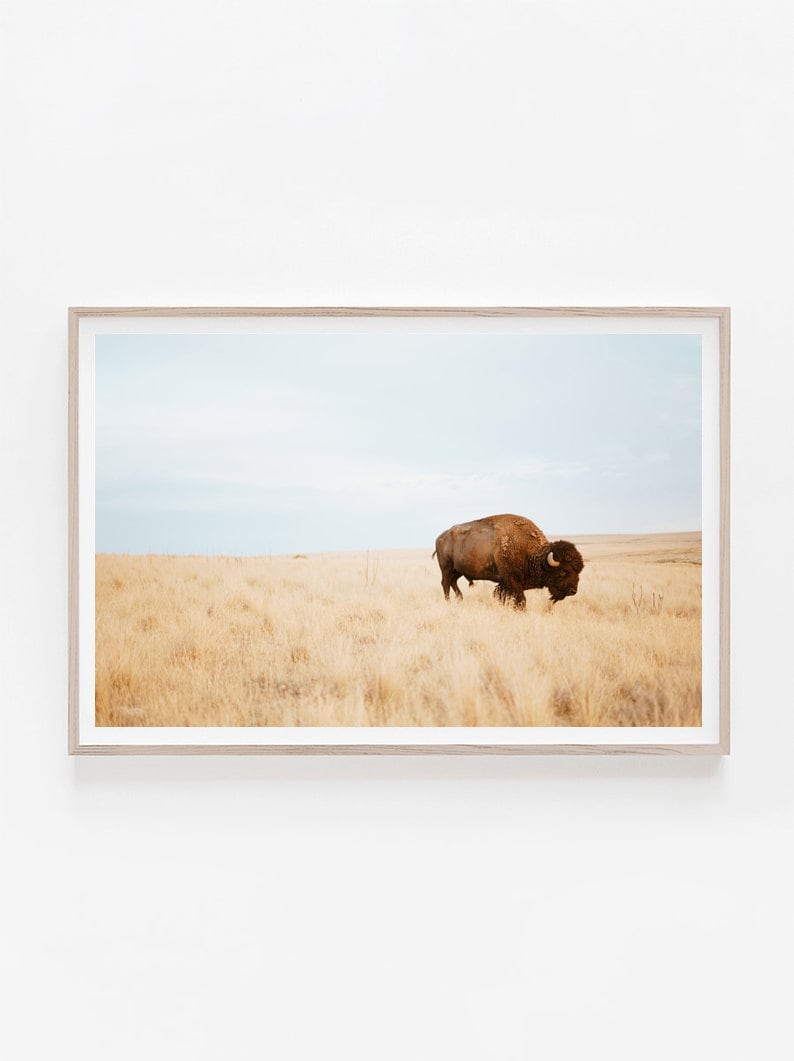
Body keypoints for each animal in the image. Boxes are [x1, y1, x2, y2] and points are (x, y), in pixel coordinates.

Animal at [433, 514, 584, 608]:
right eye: (563, 571)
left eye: (579, 571)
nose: (573, 591)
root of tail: (440, 537)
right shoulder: (512, 580)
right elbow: (520, 599)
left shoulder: (505, 583)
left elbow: (502, 597)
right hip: (446, 568)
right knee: (445, 584)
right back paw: (448, 602)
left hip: (457, 571)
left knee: (453, 583)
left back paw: (460, 599)